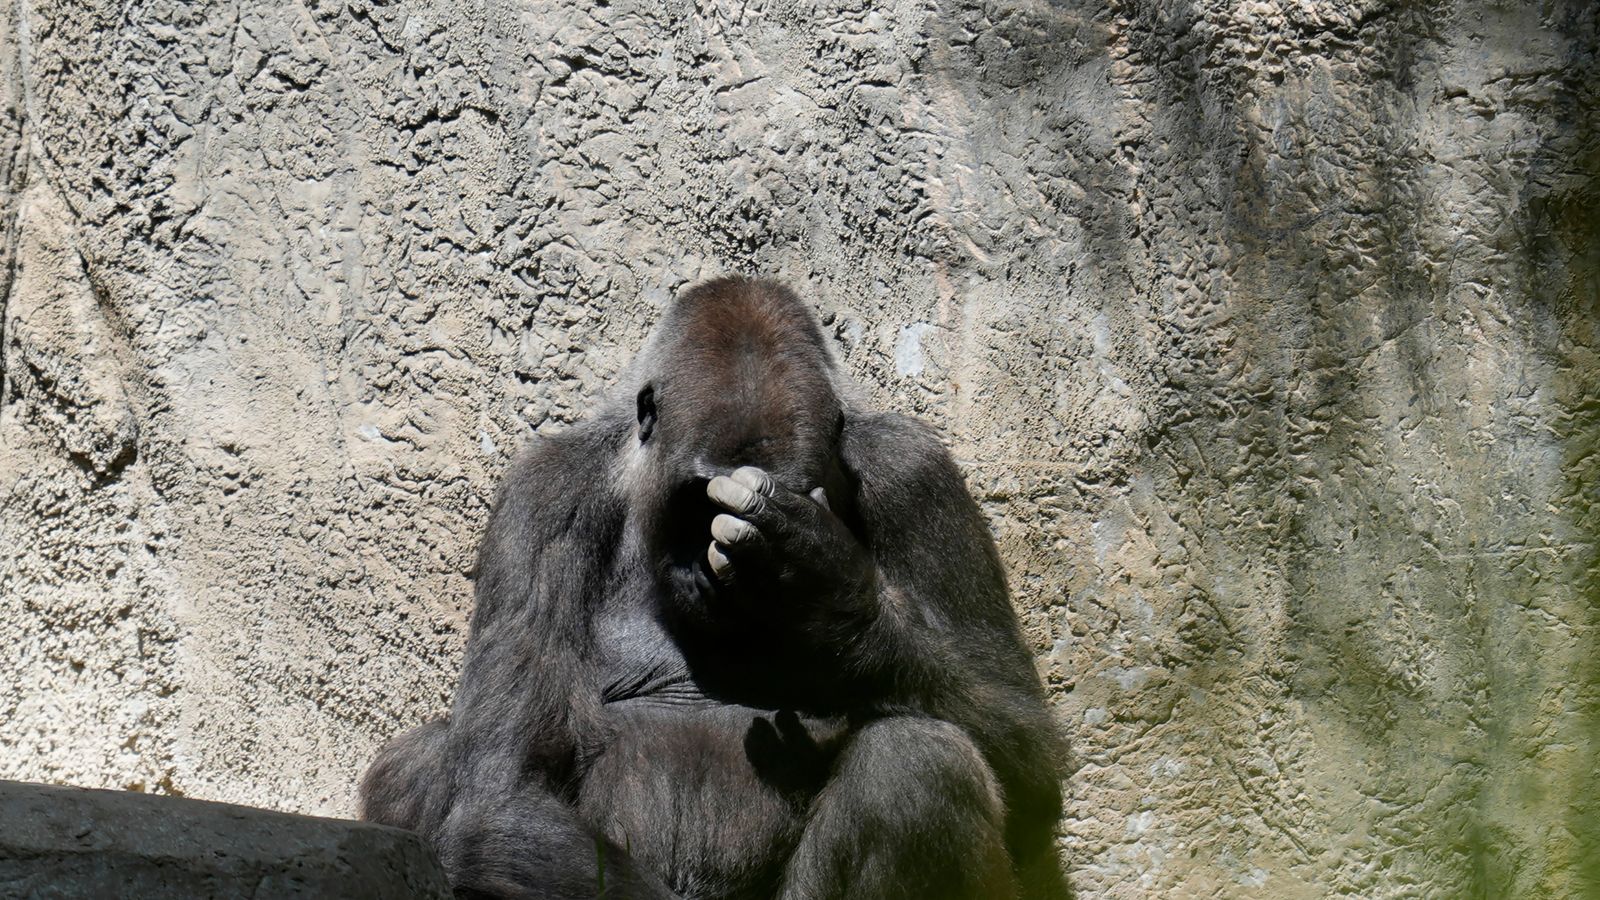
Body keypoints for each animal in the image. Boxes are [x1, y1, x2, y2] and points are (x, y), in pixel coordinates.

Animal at [361, 277, 1062, 890]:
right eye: (699, 501)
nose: (711, 566)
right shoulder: (547, 494)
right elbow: (502, 795)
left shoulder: (914, 473)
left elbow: (1029, 756)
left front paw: (828, 598)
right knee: (421, 763)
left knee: (919, 763)